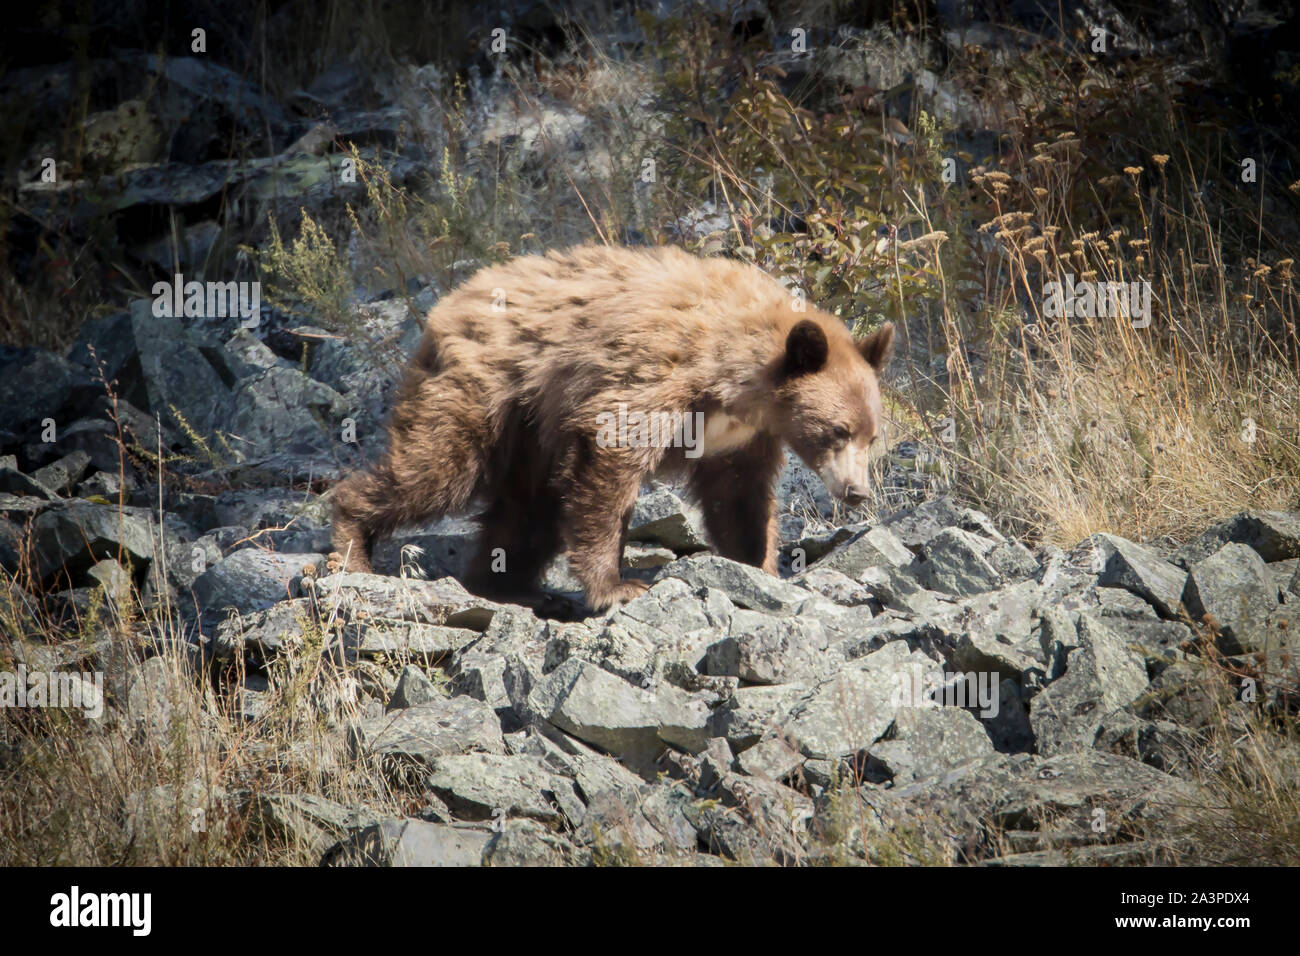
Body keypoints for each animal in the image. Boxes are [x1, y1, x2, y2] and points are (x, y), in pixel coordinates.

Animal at [331, 244, 894, 611]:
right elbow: (612, 457)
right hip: (483, 393)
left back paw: (506, 585)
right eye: (838, 431)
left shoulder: (741, 437)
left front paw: (760, 565)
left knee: (527, 509)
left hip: (530, 428)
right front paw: (618, 587)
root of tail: (451, 302)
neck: (739, 378)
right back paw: (353, 544)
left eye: (872, 436)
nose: (857, 493)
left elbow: (740, 498)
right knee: (435, 471)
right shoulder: (656, 376)